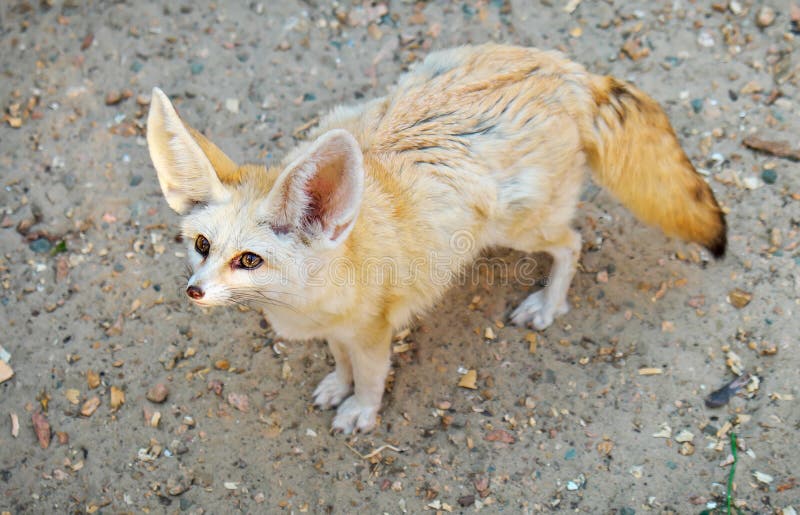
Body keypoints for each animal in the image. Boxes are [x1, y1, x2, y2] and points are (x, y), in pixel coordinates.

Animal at [147, 44, 726, 434]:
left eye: (249, 260)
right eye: (202, 245)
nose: (194, 291)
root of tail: (570, 72)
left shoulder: (374, 333)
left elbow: (372, 377)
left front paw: (361, 409)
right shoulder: (336, 330)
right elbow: (340, 362)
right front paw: (338, 385)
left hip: (523, 228)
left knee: (573, 243)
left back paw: (547, 303)